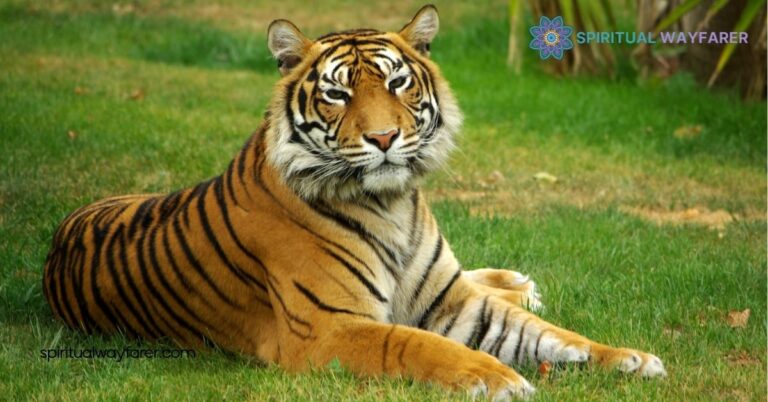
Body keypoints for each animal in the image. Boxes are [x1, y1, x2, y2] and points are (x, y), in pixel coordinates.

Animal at [42, 5, 666, 399]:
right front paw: (499, 378)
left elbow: (551, 334)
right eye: (338, 93)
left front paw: (627, 358)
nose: (384, 138)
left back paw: (517, 282)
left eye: (396, 84)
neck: (393, 204)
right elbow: (414, 344)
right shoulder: (330, 328)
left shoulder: (455, 301)